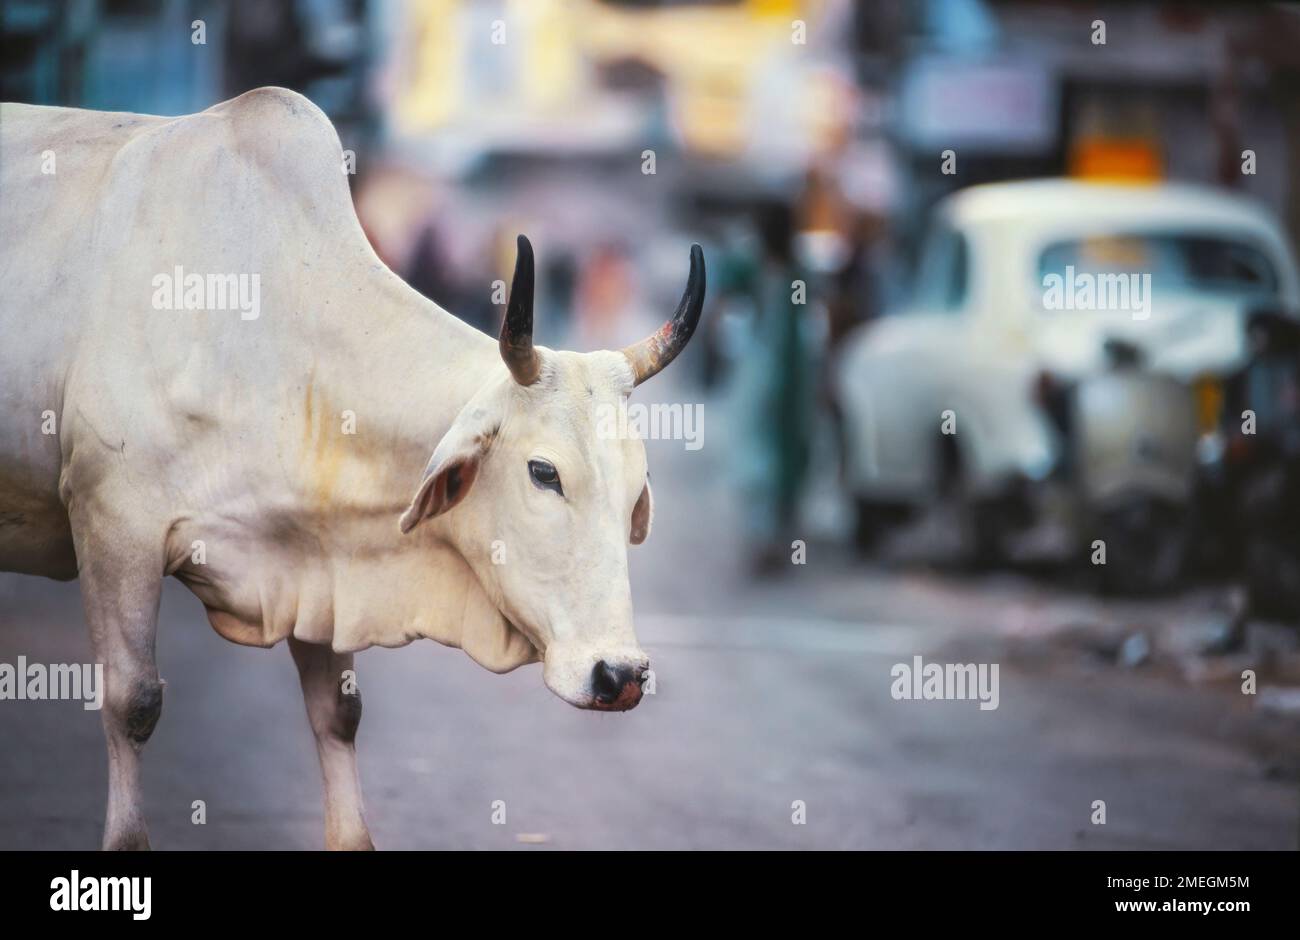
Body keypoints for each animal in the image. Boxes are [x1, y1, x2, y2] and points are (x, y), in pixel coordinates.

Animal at [0, 87, 705, 850]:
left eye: (634, 491)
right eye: (544, 473)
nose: (620, 674)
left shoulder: (315, 562)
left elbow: (339, 716)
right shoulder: (112, 525)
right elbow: (132, 702)